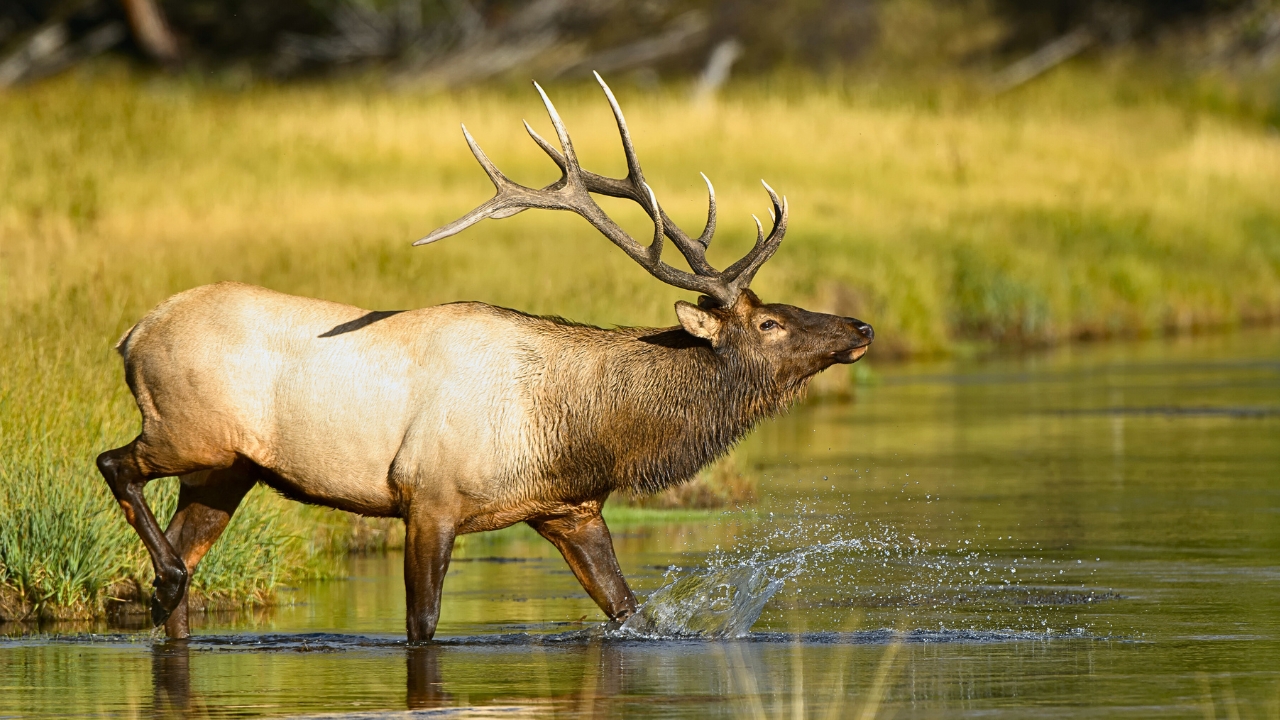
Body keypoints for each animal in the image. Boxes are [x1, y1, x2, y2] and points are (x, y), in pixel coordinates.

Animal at [96, 74, 874, 643]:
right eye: (770, 322)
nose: (861, 326)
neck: (578, 430)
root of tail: (132, 333)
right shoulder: (428, 496)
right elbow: (423, 625)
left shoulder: (570, 509)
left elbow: (628, 609)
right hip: (188, 430)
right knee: (113, 464)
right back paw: (164, 576)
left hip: (226, 470)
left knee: (180, 563)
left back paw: (168, 592)